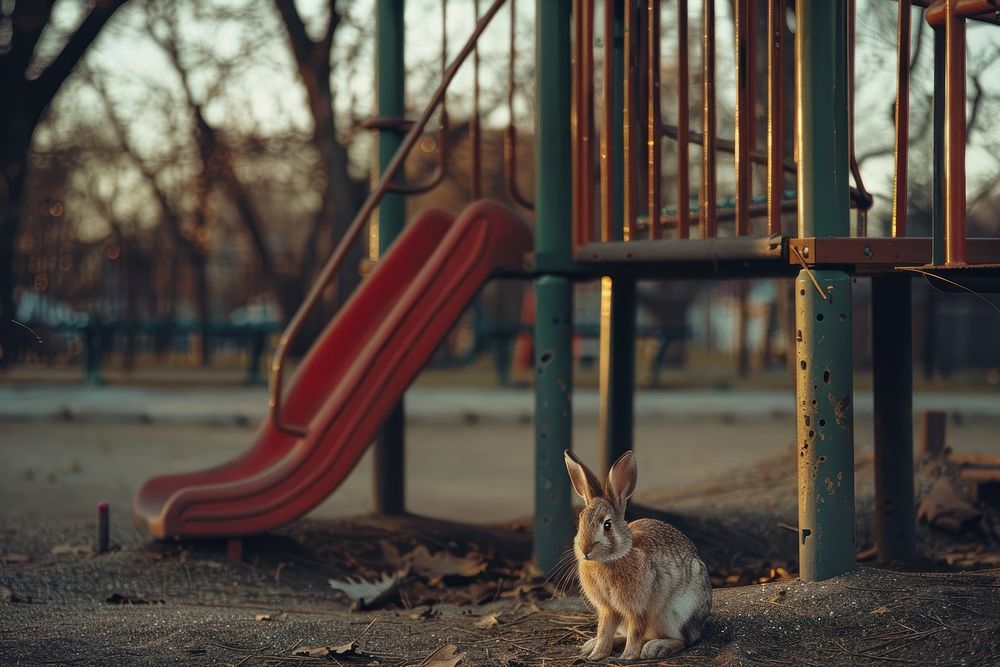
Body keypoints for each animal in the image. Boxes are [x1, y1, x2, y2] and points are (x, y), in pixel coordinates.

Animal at [563, 449, 711, 662]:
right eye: (580, 521)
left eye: (607, 525)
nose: (585, 549)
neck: (613, 558)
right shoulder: (608, 610)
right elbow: (604, 631)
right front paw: (596, 655)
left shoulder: (637, 609)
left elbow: (635, 631)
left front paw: (627, 657)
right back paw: (590, 645)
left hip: (676, 614)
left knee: (684, 640)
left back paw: (656, 648)